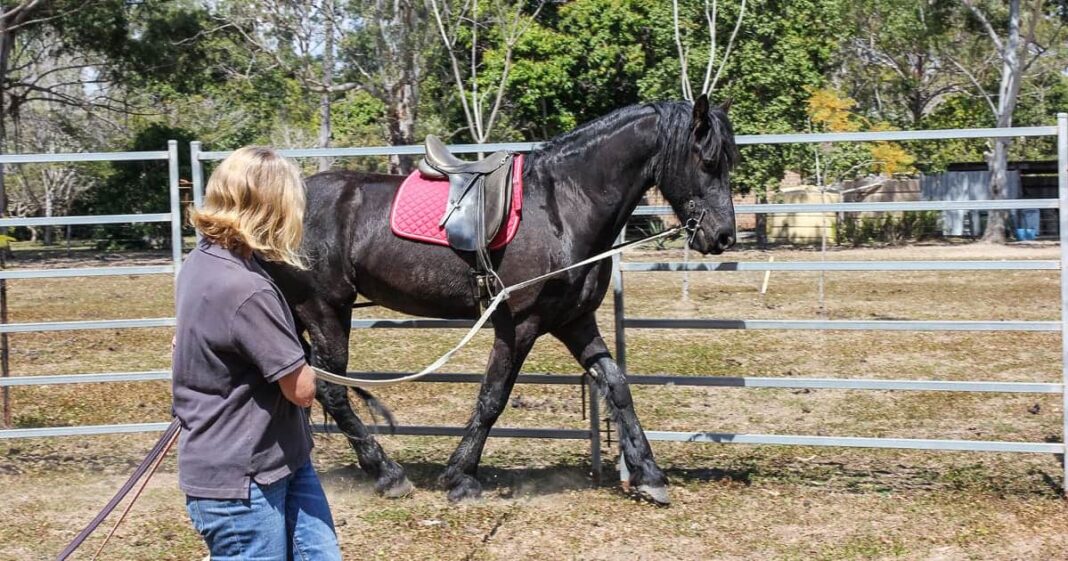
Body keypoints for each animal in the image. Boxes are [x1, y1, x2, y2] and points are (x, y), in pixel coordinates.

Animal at [264, 94, 738, 505]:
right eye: (707, 160)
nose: (722, 237)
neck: (563, 206)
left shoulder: (576, 321)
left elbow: (617, 386)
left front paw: (649, 475)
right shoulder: (519, 325)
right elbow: (493, 397)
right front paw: (461, 477)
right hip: (324, 310)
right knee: (330, 390)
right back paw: (387, 473)